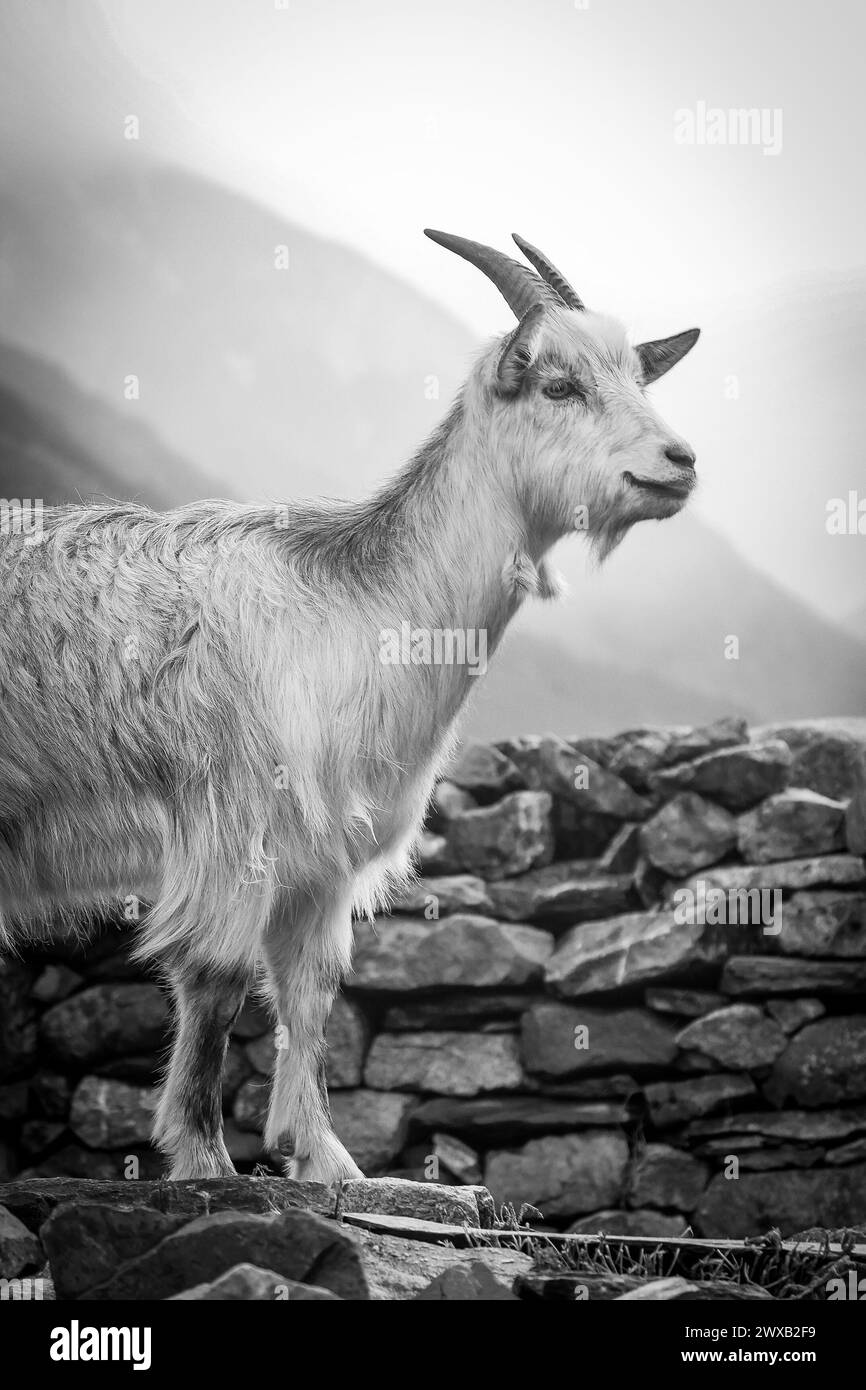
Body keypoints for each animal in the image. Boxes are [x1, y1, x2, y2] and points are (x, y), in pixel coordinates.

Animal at [0, 231, 700, 1182]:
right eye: (558, 385)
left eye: (638, 378)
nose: (680, 462)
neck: (343, 611)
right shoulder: (232, 824)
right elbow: (217, 976)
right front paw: (205, 1160)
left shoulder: (322, 861)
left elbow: (313, 991)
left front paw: (325, 1158)